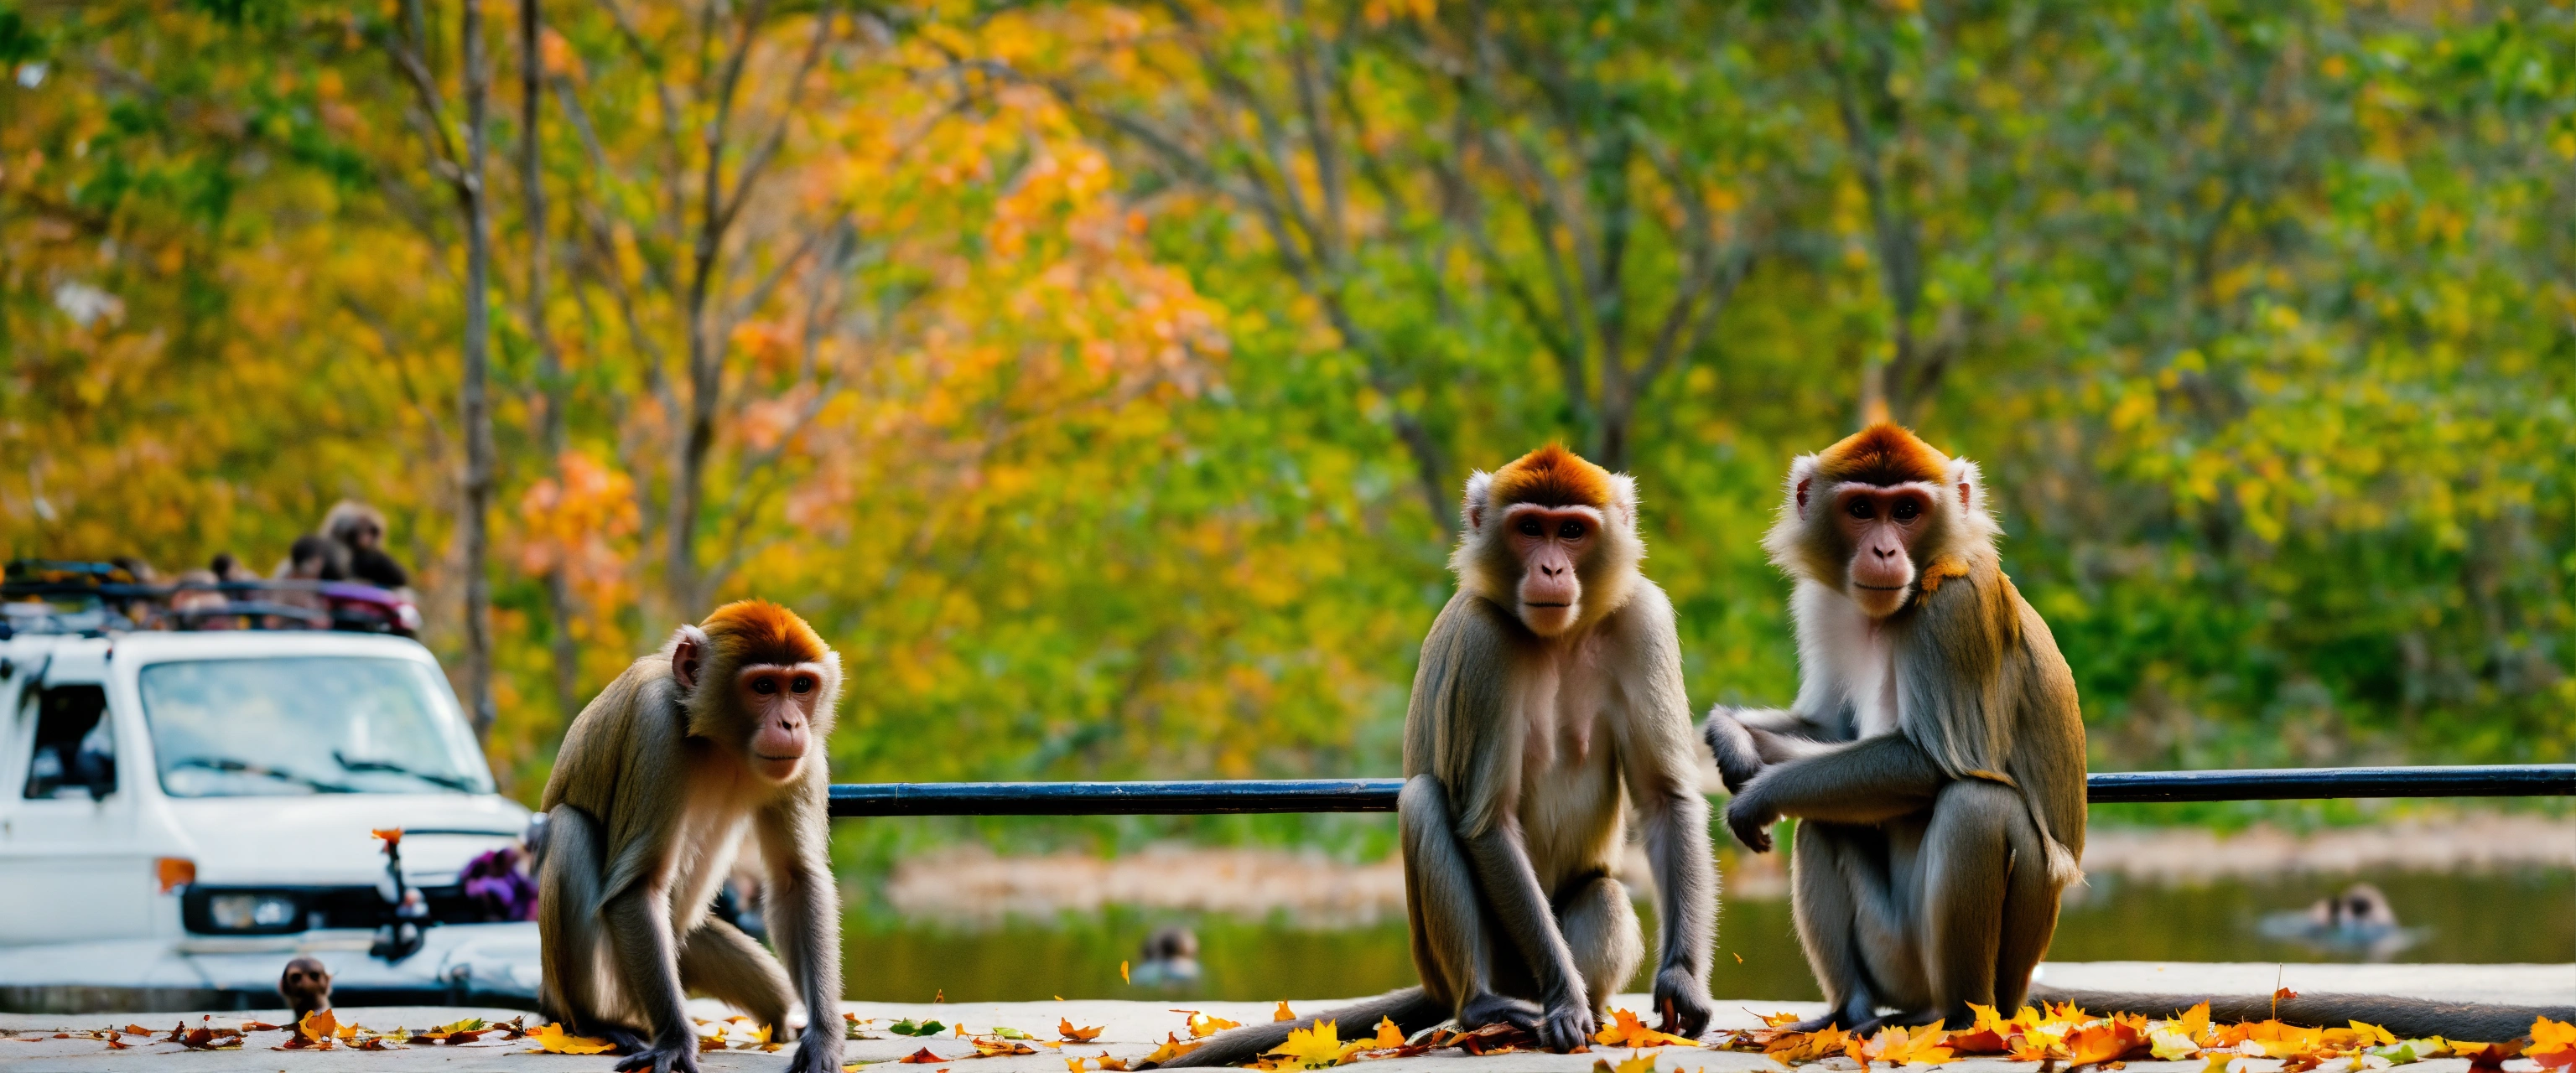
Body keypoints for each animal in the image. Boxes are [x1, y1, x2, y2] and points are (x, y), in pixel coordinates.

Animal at [538, 600, 844, 1073]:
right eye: (764, 686)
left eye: (801, 686)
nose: (792, 724)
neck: (720, 741)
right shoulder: (657, 727)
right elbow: (640, 885)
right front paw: (676, 1041)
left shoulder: (805, 755)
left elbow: (796, 880)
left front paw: (824, 1037)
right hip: (612, 986)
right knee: (570, 827)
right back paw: (597, 1026)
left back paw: (782, 1021)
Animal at [1166, 446, 1716, 1067]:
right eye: (1531, 529)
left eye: (1572, 531)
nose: (1551, 570)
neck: (1557, 636)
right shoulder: (1484, 642)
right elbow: (1487, 822)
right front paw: (1566, 998)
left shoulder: (1645, 619)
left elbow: (1664, 797)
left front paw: (1681, 981)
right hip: (1469, 962)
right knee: (1426, 801)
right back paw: (1485, 1007)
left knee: (1605, 893)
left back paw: (1593, 1012)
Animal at [1705, 424, 2576, 1040]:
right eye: (1862, 508)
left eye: (1907, 509)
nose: (1885, 549)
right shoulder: (1825, 603)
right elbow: (1829, 726)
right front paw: (1731, 735)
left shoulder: (1954, 605)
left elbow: (1929, 763)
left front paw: (1754, 785)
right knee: (1828, 818)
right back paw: (1849, 1011)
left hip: (1983, 955)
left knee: (1973, 806)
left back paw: (1956, 1021)